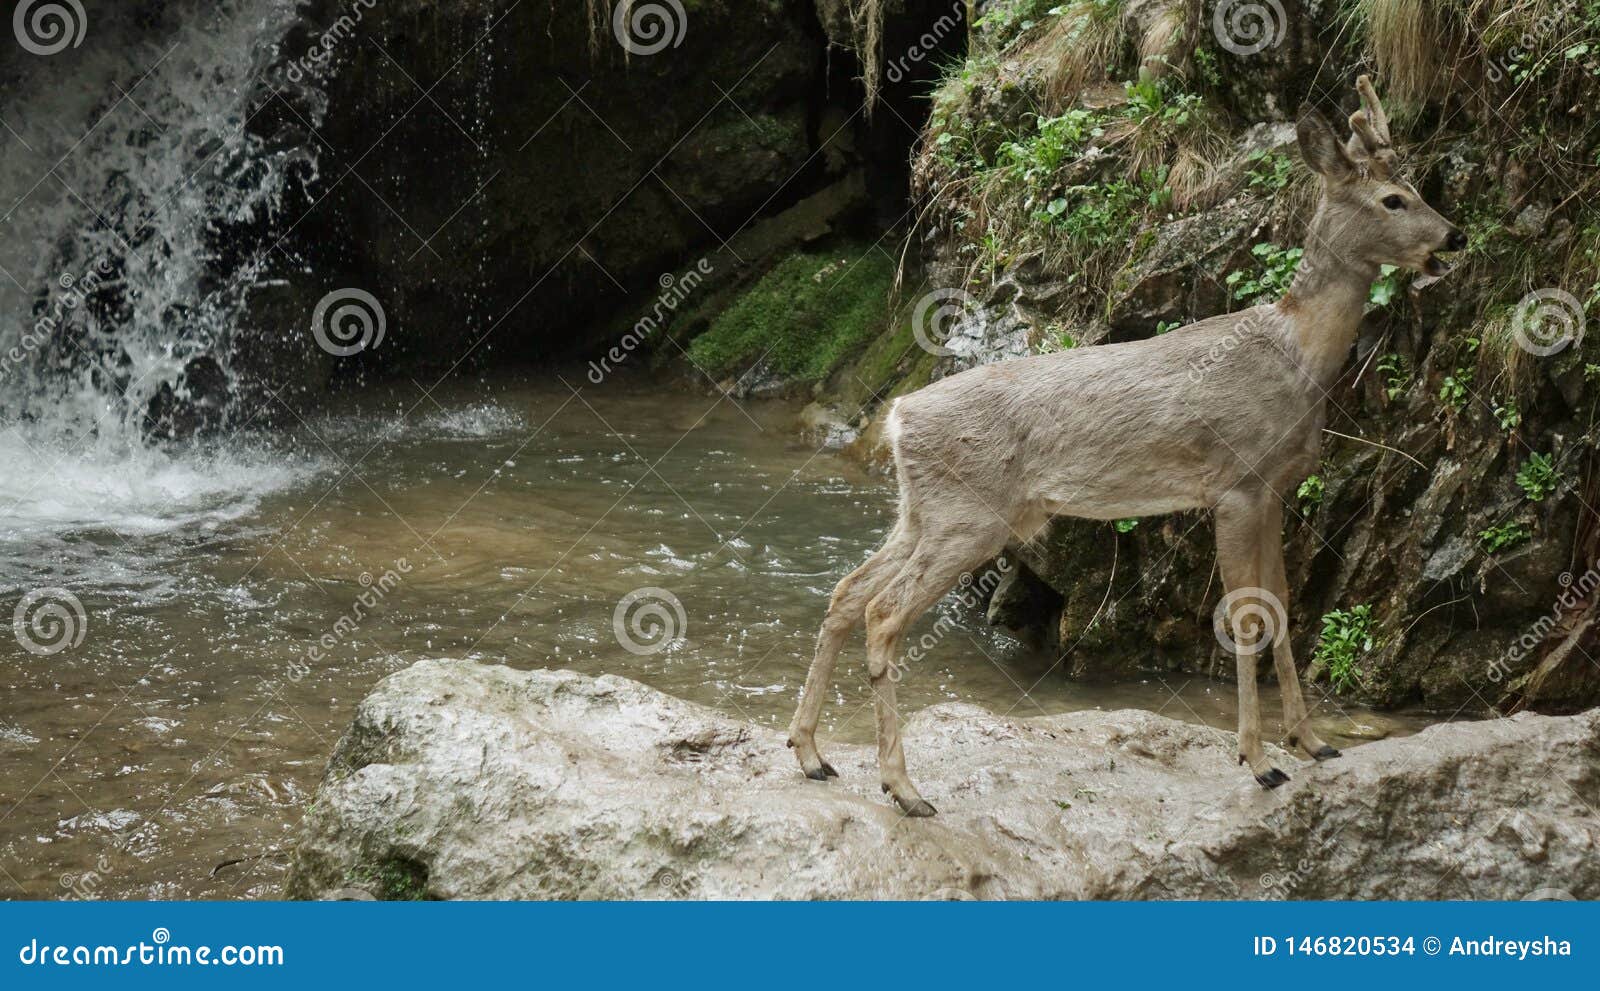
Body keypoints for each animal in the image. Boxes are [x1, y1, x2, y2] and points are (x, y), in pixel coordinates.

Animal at [786, 77, 1467, 816]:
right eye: (1392, 198)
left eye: (1417, 187)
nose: (1455, 236)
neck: (1297, 354)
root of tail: (900, 413)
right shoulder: (1235, 484)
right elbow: (1247, 616)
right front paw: (1258, 761)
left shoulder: (1276, 489)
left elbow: (1284, 607)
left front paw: (1312, 744)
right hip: (967, 515)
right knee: (882, 614)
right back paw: (905, 788)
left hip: (922, 511)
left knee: (846, 593)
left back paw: (813, 754)